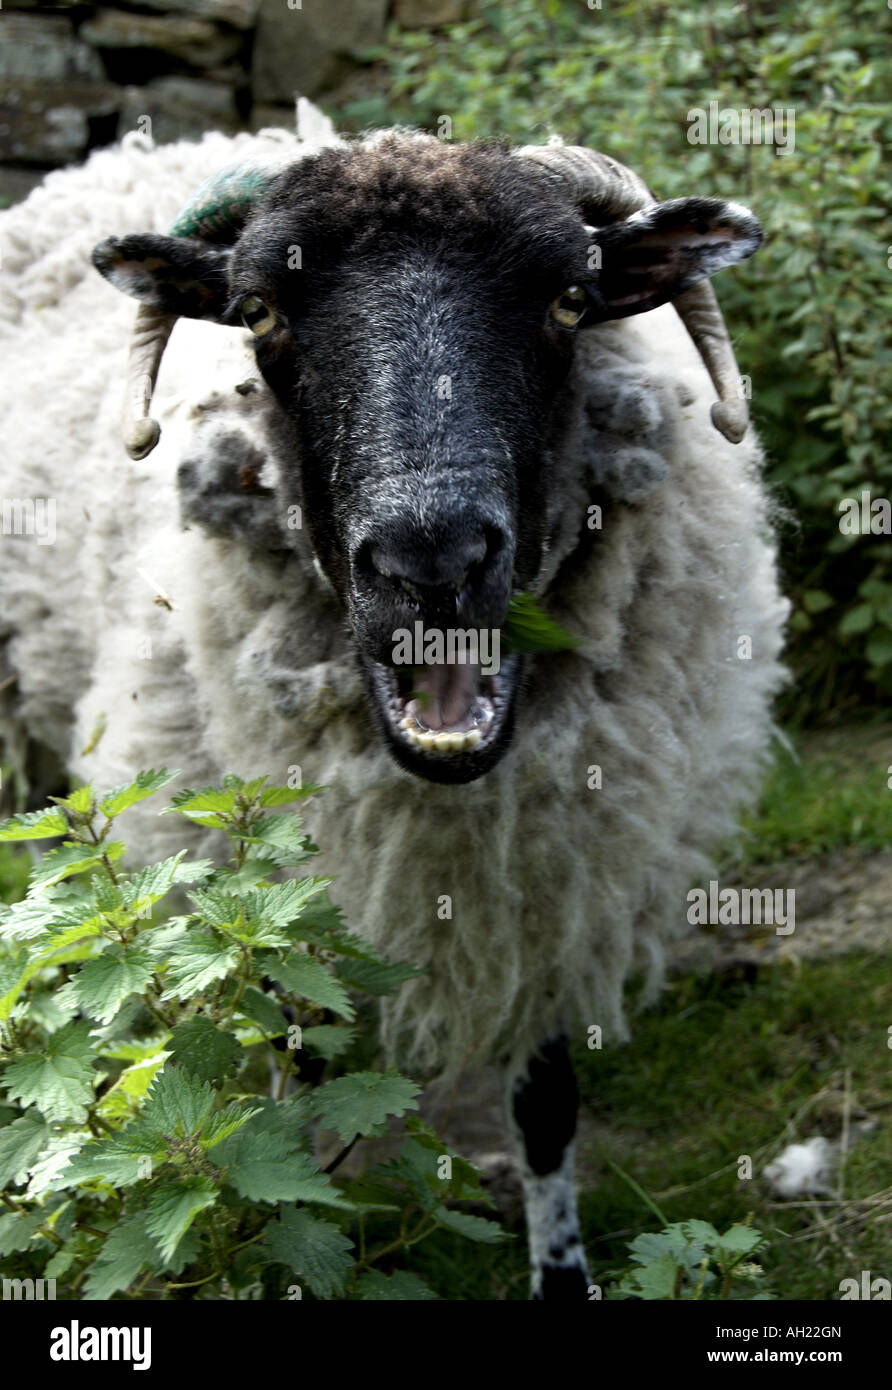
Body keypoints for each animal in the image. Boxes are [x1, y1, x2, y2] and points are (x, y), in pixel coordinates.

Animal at [0, 100, 789, 1300]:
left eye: (571, 298)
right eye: (257, 310)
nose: (432, 558)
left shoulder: (556, 867)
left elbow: (546, 1104)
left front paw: (562, 1272)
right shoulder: (252, 872)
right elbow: (266, 1082)